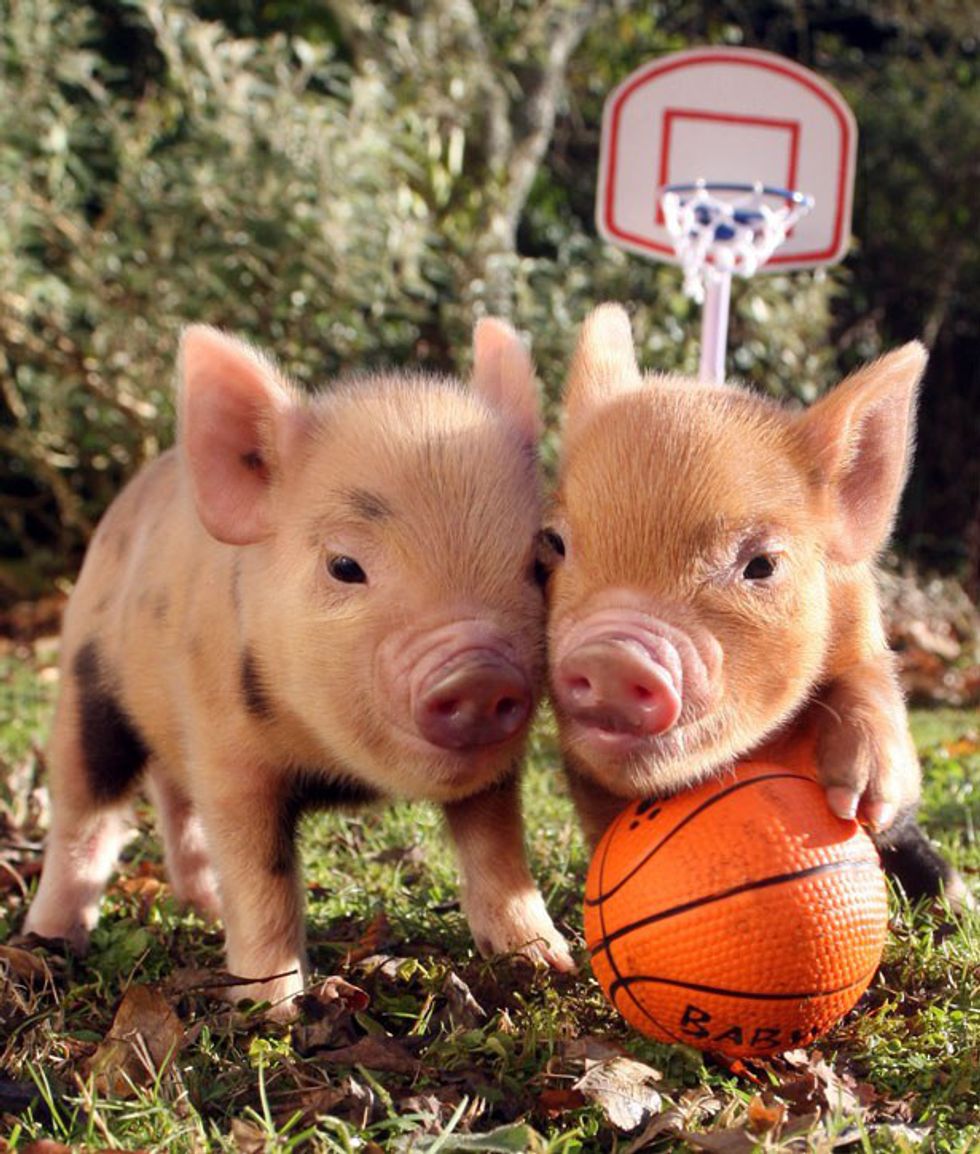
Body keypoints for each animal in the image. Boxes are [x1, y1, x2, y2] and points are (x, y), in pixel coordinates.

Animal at [24, 320, 575, 1017]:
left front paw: (549, 963)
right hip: (86, 685)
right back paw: (49, 942)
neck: (344, 772)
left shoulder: (494, 774)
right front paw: (278, 1009)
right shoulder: (230, 753)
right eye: (344, 566)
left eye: (536, 563)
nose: (479, 673)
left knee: (175, 800)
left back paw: (205, 908)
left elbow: (497, 848)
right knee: (83, 816)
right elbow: (263, 876)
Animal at [542, 304, 967, 908]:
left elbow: (869, 686)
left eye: (761, 565)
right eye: (554, 542)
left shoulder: (861, 627)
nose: (611, 654)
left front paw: (857, 802)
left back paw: (954, 895)